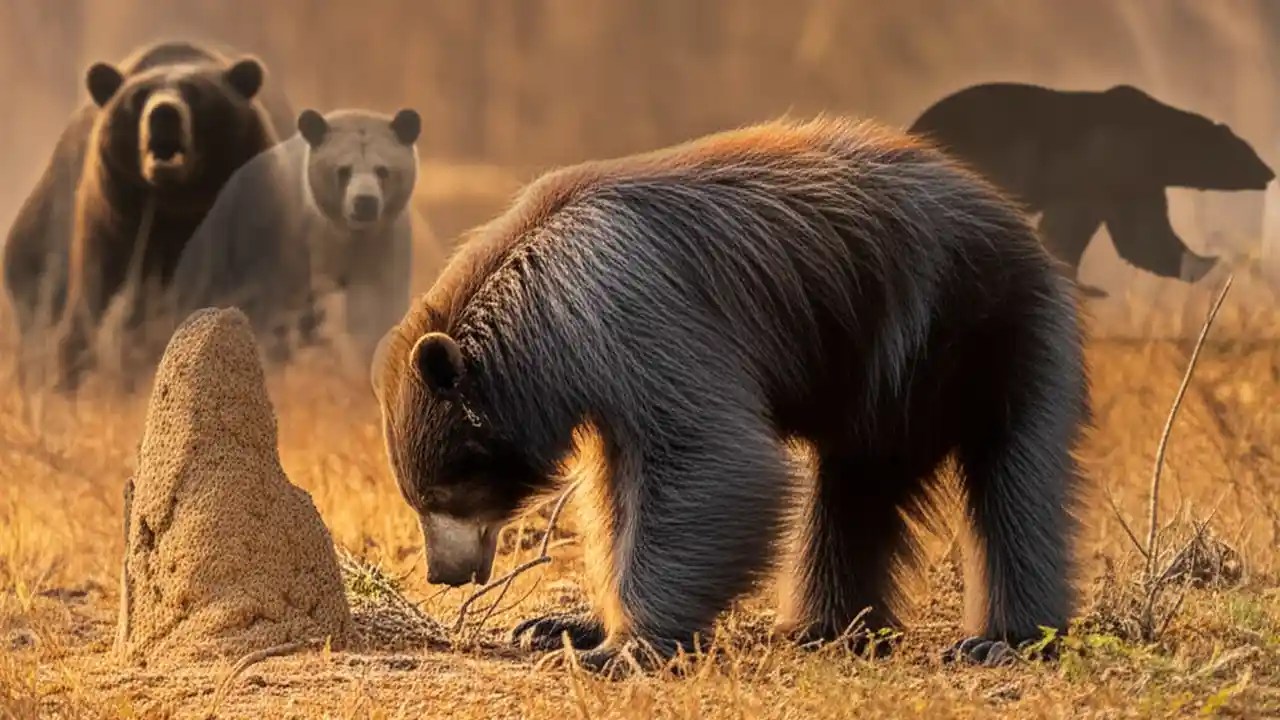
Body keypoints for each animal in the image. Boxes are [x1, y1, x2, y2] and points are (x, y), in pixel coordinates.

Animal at [1, 39, 293, 394]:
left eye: (195, 92)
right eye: (139, 96)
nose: (163, 113)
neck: (176, 206)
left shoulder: (249, 225)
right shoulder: (114, 228)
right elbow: (99, 310)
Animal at [167, 106, 432, 376]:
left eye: (383, 170)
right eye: (343, 170)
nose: (365, 203)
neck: (345, 231)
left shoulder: (383, 240)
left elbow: (374, 307)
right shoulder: (284, 238)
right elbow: (274, 316)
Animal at [370, 116, 1090, 674]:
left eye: (444, 494)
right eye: (421, 497)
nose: (446, 573)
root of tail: (1006, 210)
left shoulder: (635, 311)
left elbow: (713, 461)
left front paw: (620, 650)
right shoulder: (607, 391)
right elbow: (618, 496)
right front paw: (560, 626)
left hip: (985, 325)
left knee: (1016, 480)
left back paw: (999, 642)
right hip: (877, 371)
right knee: (854, 491)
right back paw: (825, 628)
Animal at [908, 82, 1275, 298]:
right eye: (1246, 152)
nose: (1269, 172)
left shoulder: (1132, 185)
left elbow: (1144, 237)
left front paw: (1202, 262)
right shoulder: (1094, 169)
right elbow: (1074, 227)